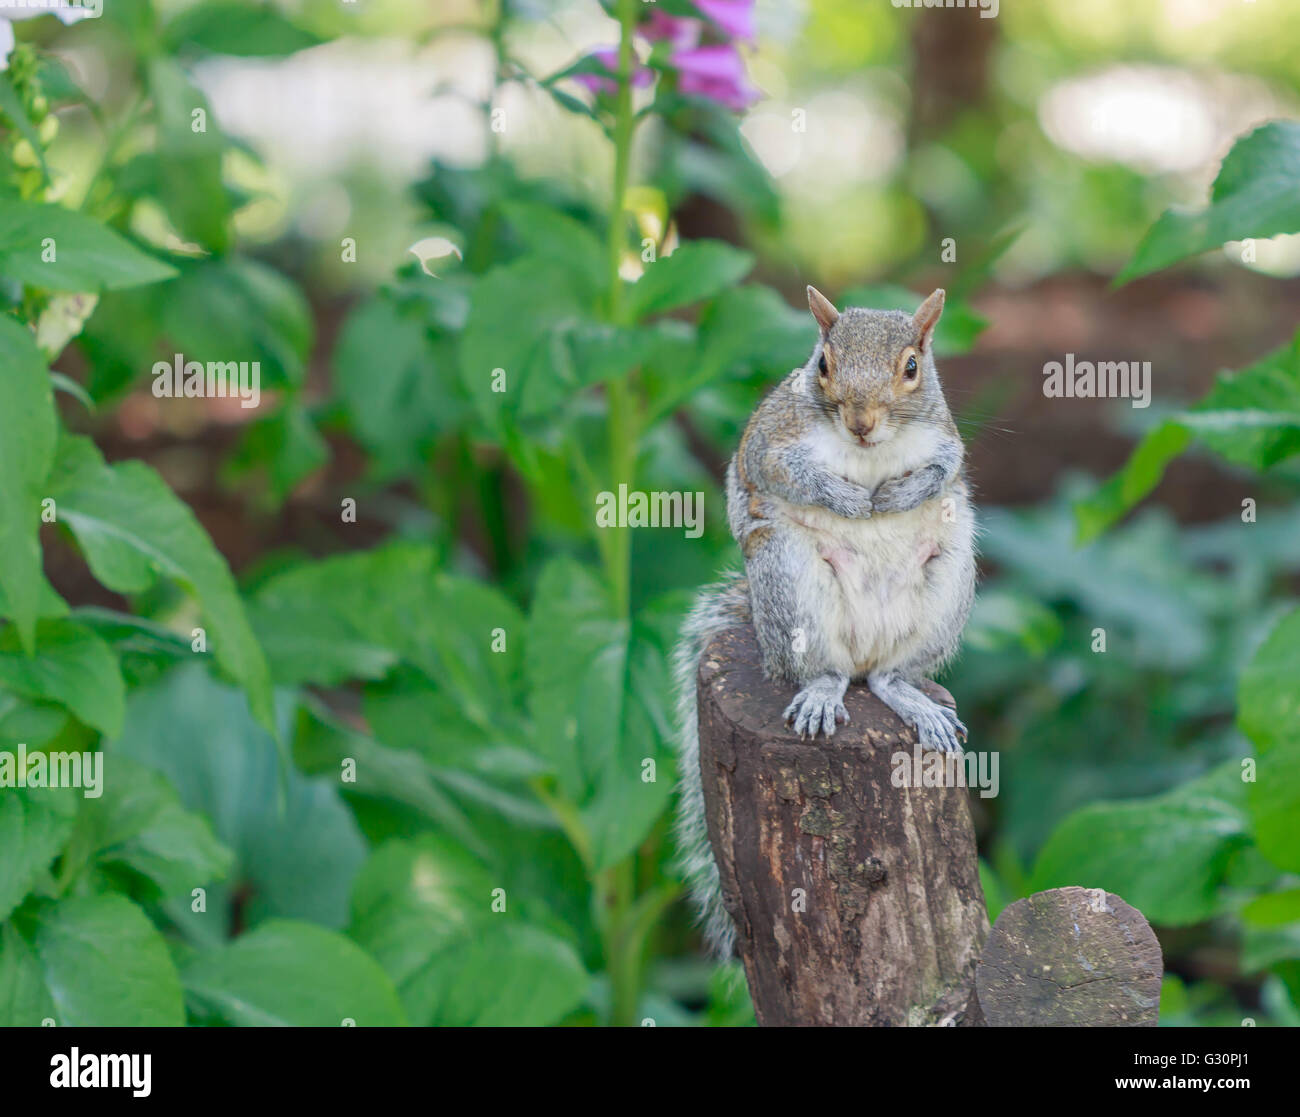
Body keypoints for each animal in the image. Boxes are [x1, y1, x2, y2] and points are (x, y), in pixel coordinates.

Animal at [672, 285, 977, 957]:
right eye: (823, 364)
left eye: (912, 366)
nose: (861, 423)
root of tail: (863, 655)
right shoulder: (772, 440)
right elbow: (783, 470)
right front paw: (848, 498)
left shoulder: (945, 438)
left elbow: (943, 469)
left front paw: (894, 495)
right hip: (789, 581)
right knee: (824, 669)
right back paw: (822, 690)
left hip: (949, 581)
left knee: (891, 676)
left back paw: (912, 701)